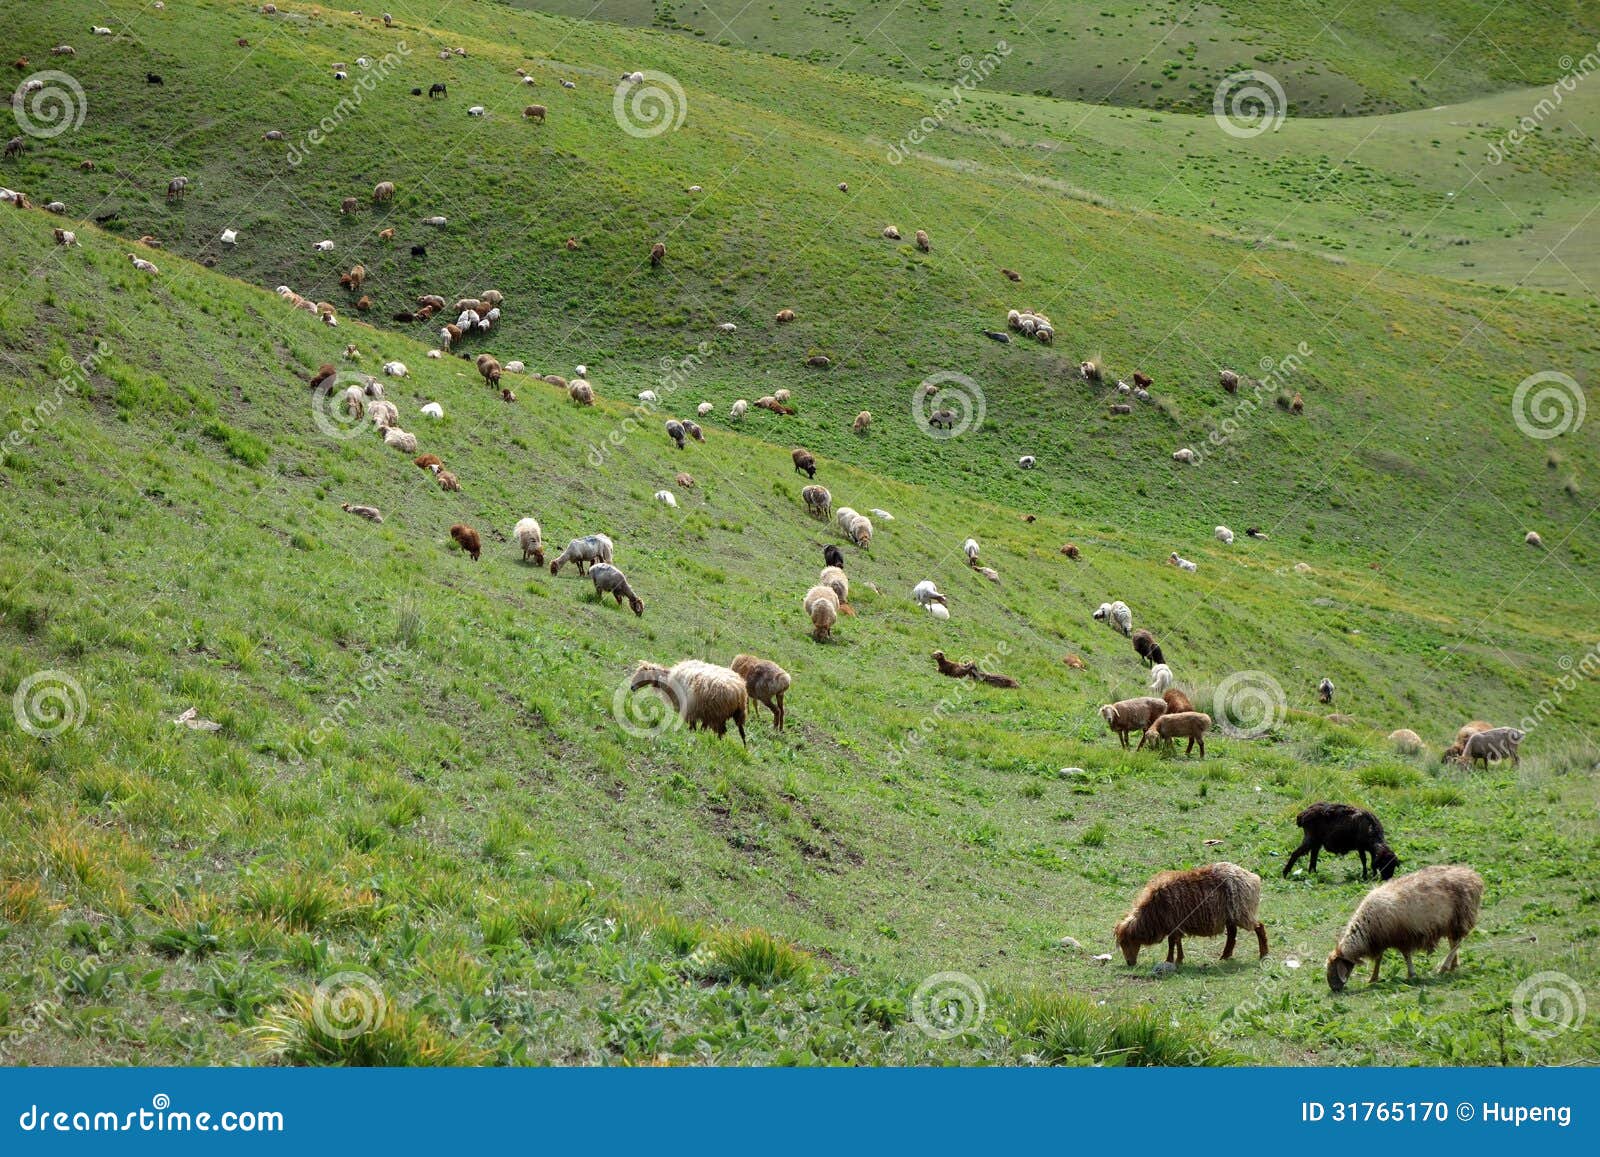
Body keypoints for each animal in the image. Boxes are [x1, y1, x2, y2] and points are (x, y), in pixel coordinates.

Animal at [1115, 862, 1267, 967]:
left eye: (1126, 942)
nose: (1129, 963)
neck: (1152, 910)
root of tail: (1253, 877)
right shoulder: (1176, 925)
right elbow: (1177, 942)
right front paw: (1178, 959)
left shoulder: (1174, 924)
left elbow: (1172, 943)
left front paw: (1170, 960)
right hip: (1231, 916)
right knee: (1232, 934)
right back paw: (1225, 956)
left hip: (1242, 912)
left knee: (1259, 927)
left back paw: (1263, 954)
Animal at [1326, 866, 1482, 990]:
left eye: (1333, 969)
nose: (1334, 989)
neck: (1366, 928)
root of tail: (1475, 877)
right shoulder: (1380, 940)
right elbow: (1379, 959)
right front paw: (1373, 978)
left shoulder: (1401, 937)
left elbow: (1405, 956)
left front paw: (1411, 974)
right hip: (1451, 922)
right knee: (1453, 942)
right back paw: (1453, 965)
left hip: (1461, 916)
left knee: (1457, 943)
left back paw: (1444, 968)